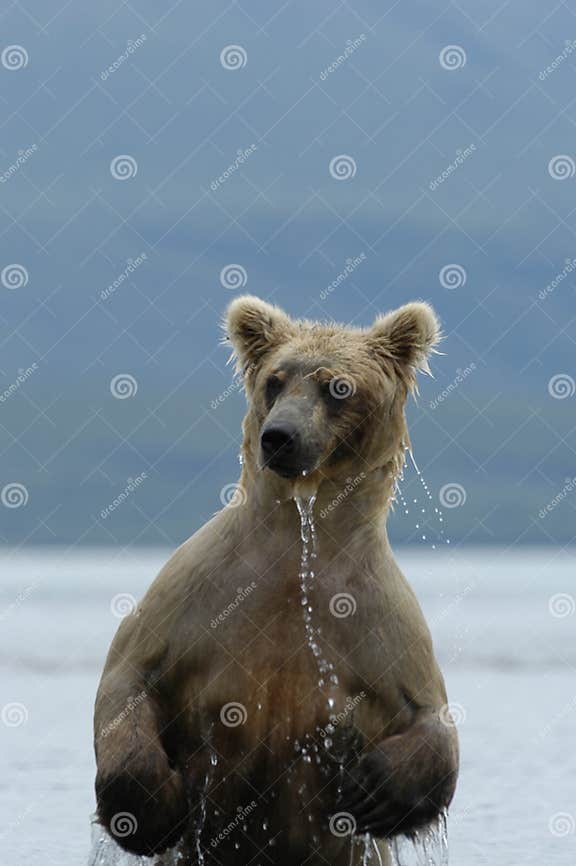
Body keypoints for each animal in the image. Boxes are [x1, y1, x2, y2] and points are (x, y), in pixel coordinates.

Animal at [93, 296, 459, 866]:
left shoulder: (375, 624)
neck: (300, 549)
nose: (280, 437)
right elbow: (128, 679)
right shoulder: (196, 602)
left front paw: (375, 792)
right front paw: (151, 809)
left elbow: (431, 719)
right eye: (275, 379)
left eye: (337, 387)